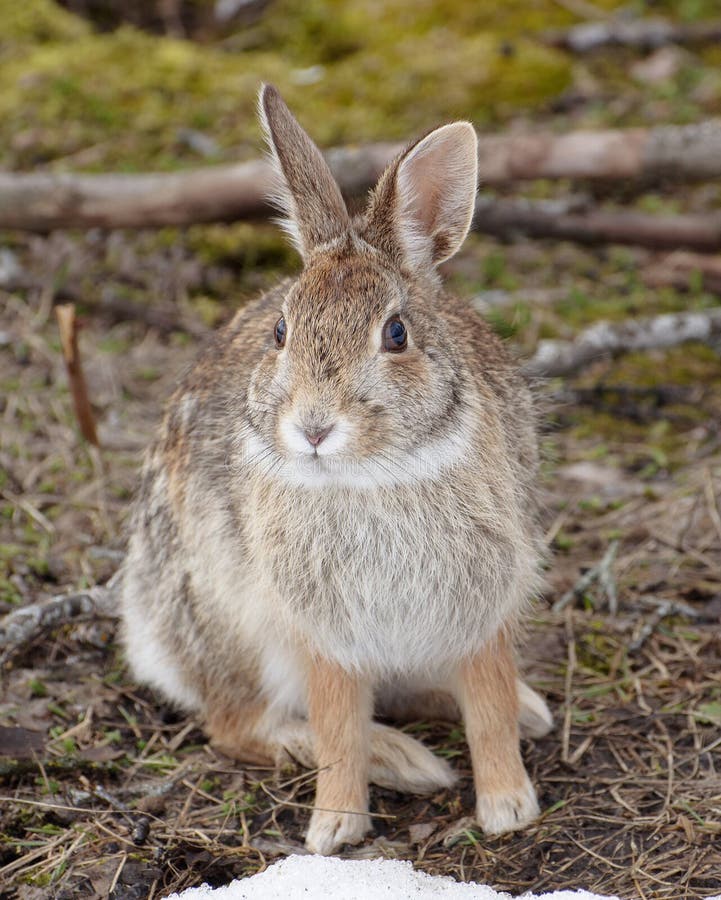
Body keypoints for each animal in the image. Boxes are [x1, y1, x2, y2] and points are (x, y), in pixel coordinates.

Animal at [120, 83, 553, 856]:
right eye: (280, 332)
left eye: (396, 334)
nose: (314, 428)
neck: (371, 474)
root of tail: (150, 642)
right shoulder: (323, 630)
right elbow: (336, 727)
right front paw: (332, 830)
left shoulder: (479, 606)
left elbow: (489, 704)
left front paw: (508, 807)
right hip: (235, 626)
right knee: (237, 726)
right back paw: (404, 761)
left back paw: (517, 714)